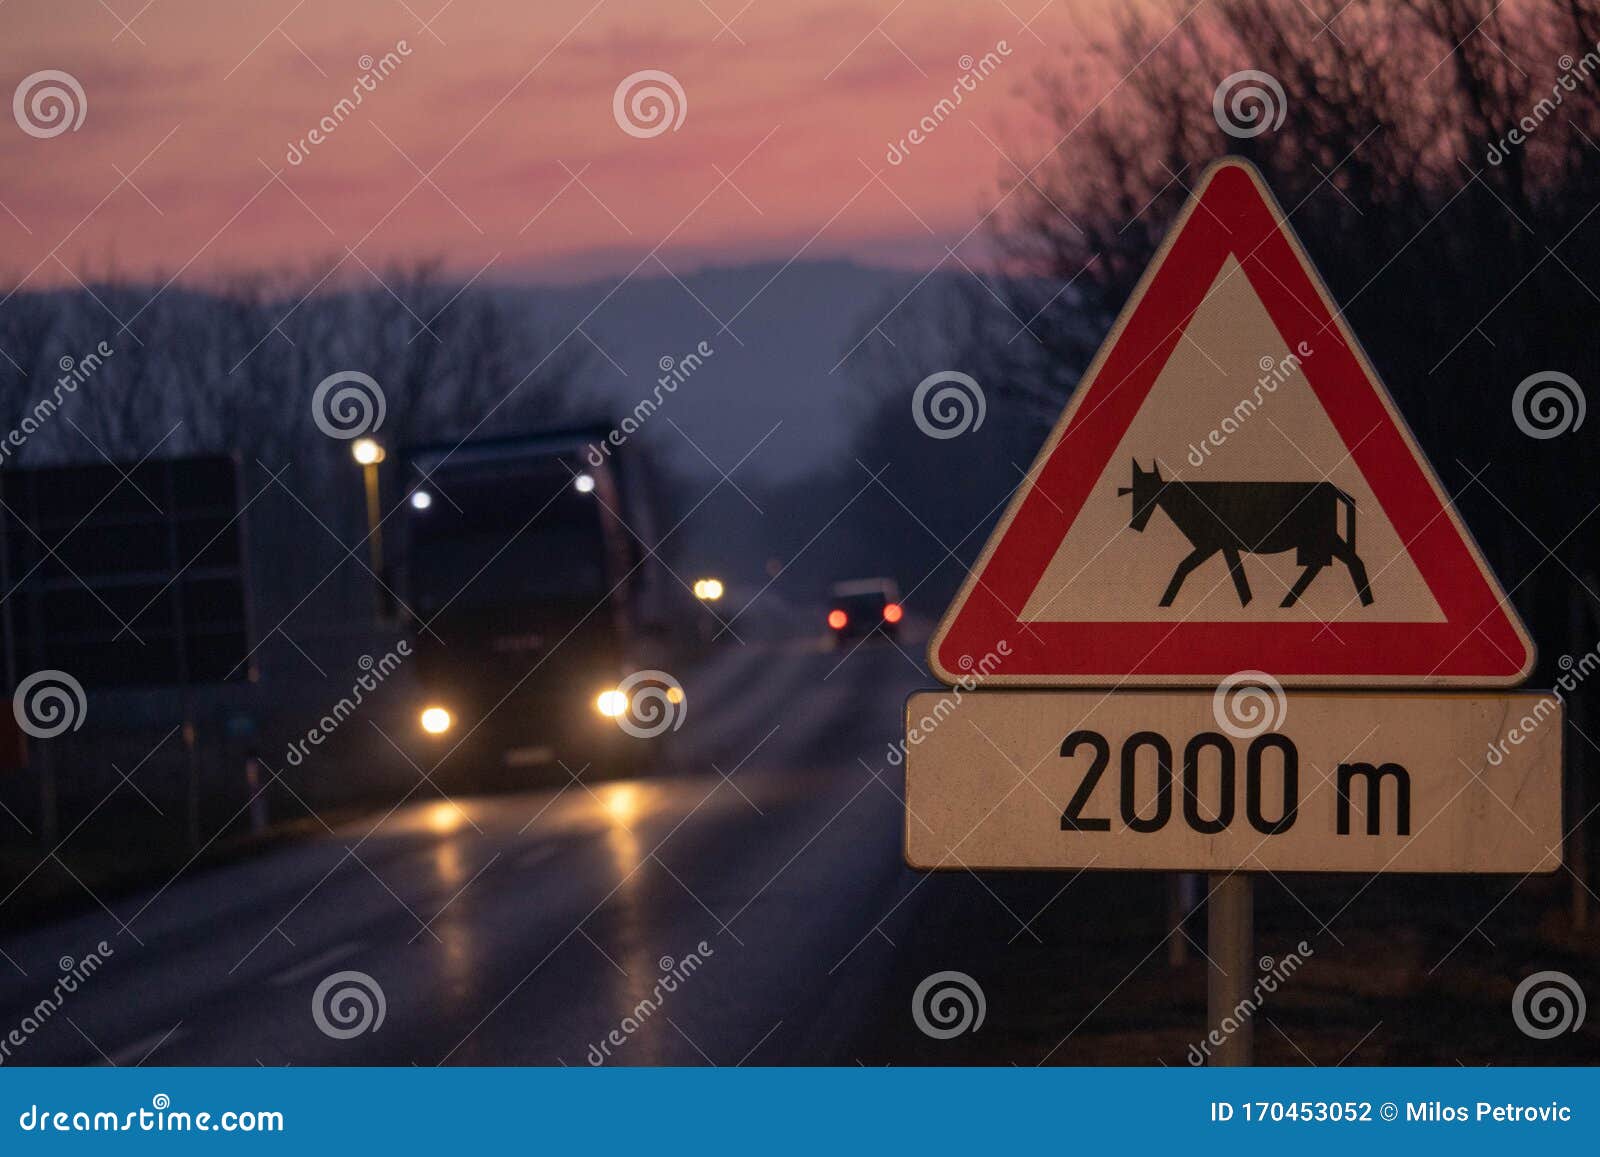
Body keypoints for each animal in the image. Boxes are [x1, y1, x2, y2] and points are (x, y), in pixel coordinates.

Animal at [1117, 460, 1375, 608]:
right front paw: (1247, 601)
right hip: (1320, 538)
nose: (1135, 525)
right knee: (1325, 564)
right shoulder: (1223, 546)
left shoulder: (1214, 544)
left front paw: (1166, 600)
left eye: (1148, 492)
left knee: (1350, 561)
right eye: (1134, 492)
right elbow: (1234, 574)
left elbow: (1186, 567)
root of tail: (1334, 488)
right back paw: (1288, 601)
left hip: (1322, 536)